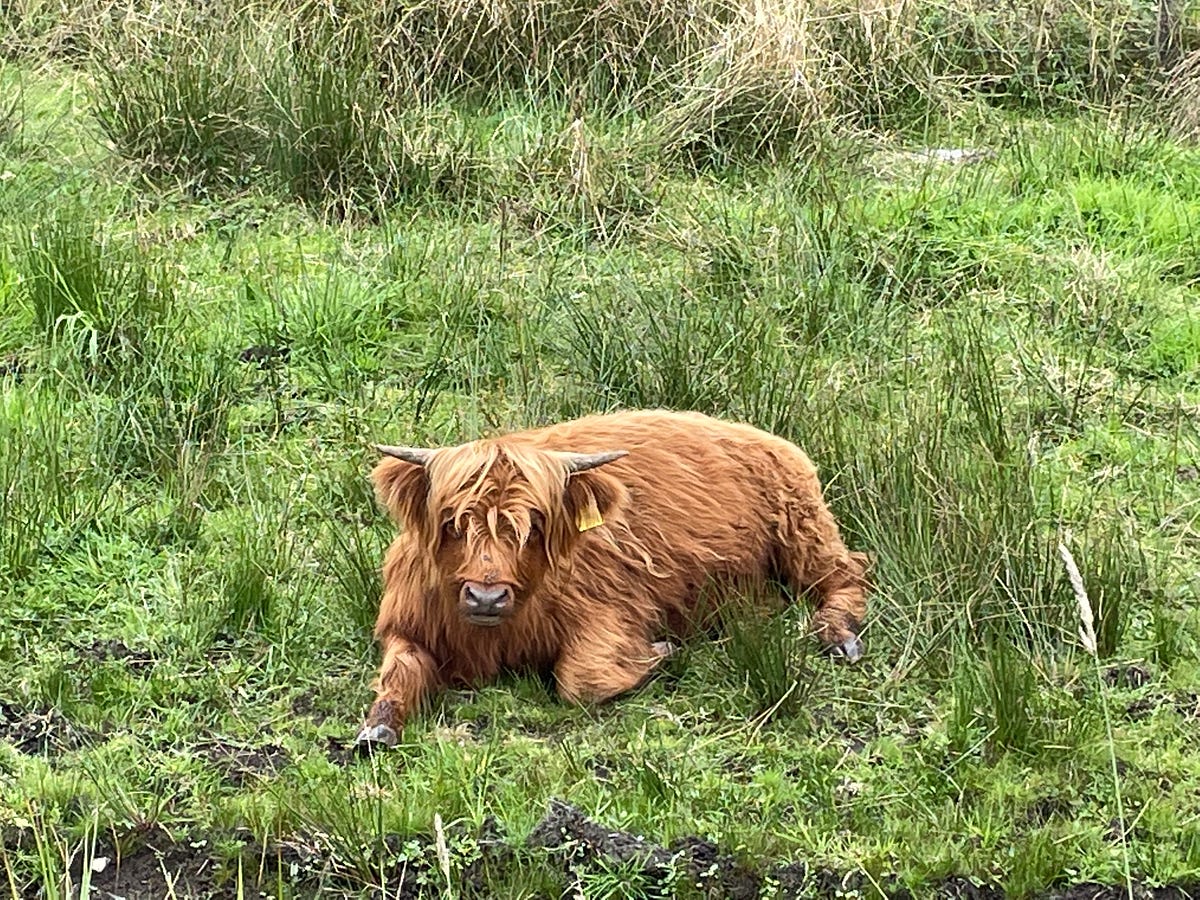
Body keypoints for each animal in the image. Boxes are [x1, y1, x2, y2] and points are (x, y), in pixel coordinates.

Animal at [356, 409, 869, 748]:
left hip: (804, 531)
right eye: (453, 522)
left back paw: (839, 636)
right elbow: (398, 673)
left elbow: (581, 681)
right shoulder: (408, 626)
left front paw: (663, 652)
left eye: (534, 525)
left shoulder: (611, 612)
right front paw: (377, 728)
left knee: (847, 575)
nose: (486, 597)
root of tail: (761, 435)